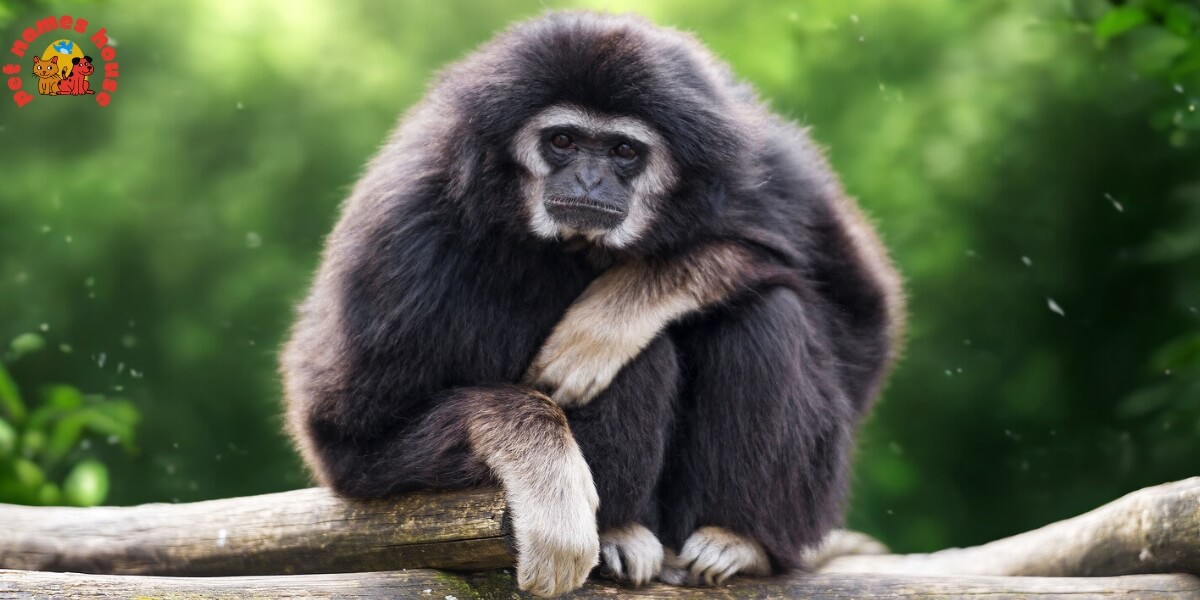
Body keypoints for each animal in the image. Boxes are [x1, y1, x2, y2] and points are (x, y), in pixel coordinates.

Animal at [280, 10, 903, 598]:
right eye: (562, 141)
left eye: (624, 150)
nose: (587, 178)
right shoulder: (404, 228)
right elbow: (352, 439)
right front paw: (546, 470)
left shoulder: (775, 169)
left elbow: (859, 318)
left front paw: (611, 315)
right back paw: (620, 532)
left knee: (769, 312)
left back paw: (739, 538)